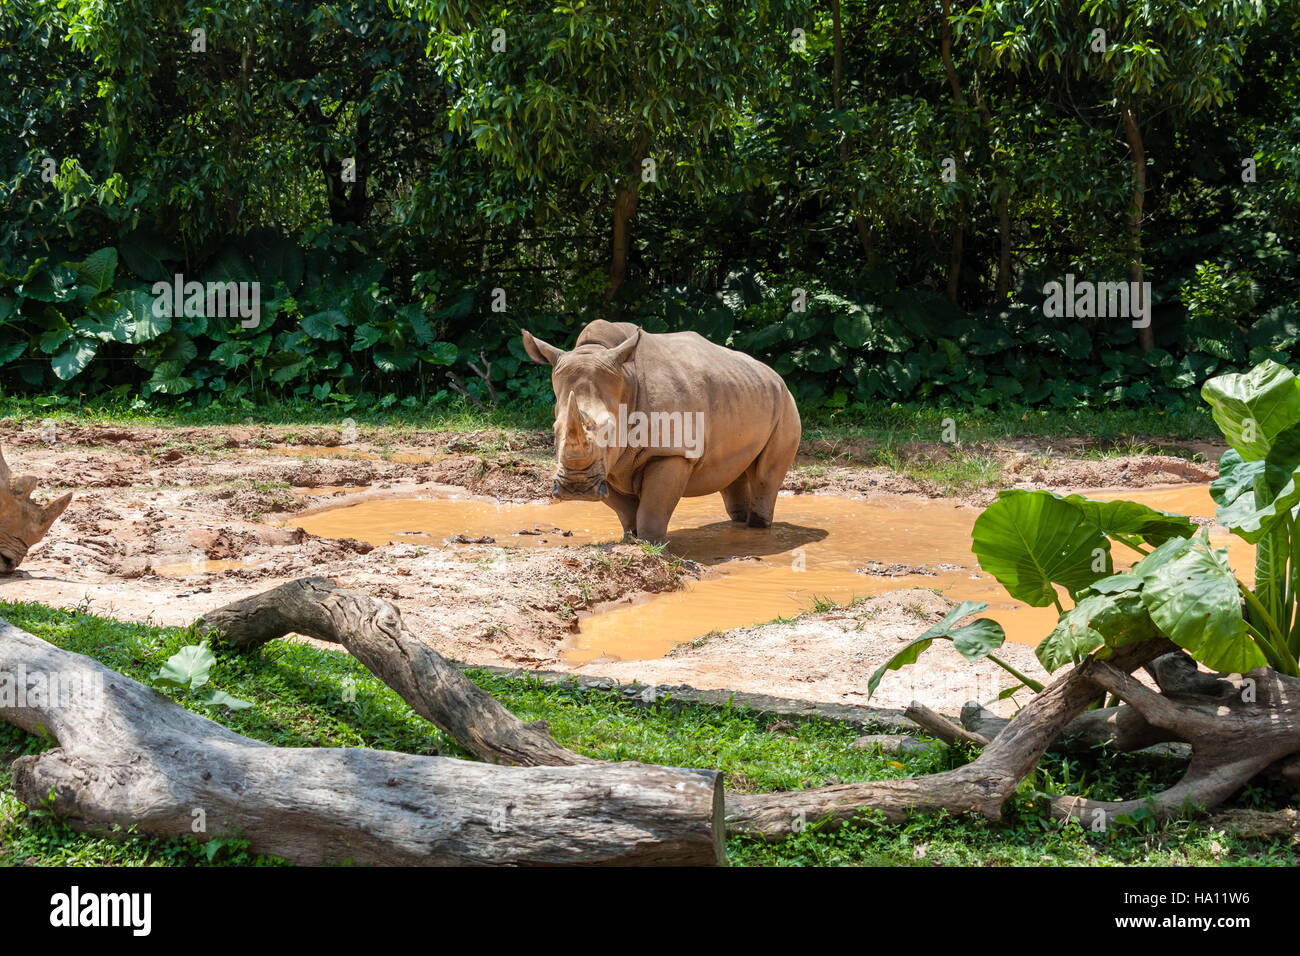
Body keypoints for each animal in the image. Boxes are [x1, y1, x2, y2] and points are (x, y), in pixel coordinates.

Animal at [522, 320, 801, 543]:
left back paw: (758, 530)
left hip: (786, 402)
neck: (626, 380)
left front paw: (653, 545)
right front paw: (631, 540)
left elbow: (652, 510)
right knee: (732, 472)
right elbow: (626, 512)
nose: (576, 488)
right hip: (747, 392)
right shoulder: (605, 466)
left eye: (610, 430)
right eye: (554, 430)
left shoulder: (671, 452)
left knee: (766, 477)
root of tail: (776, 375)